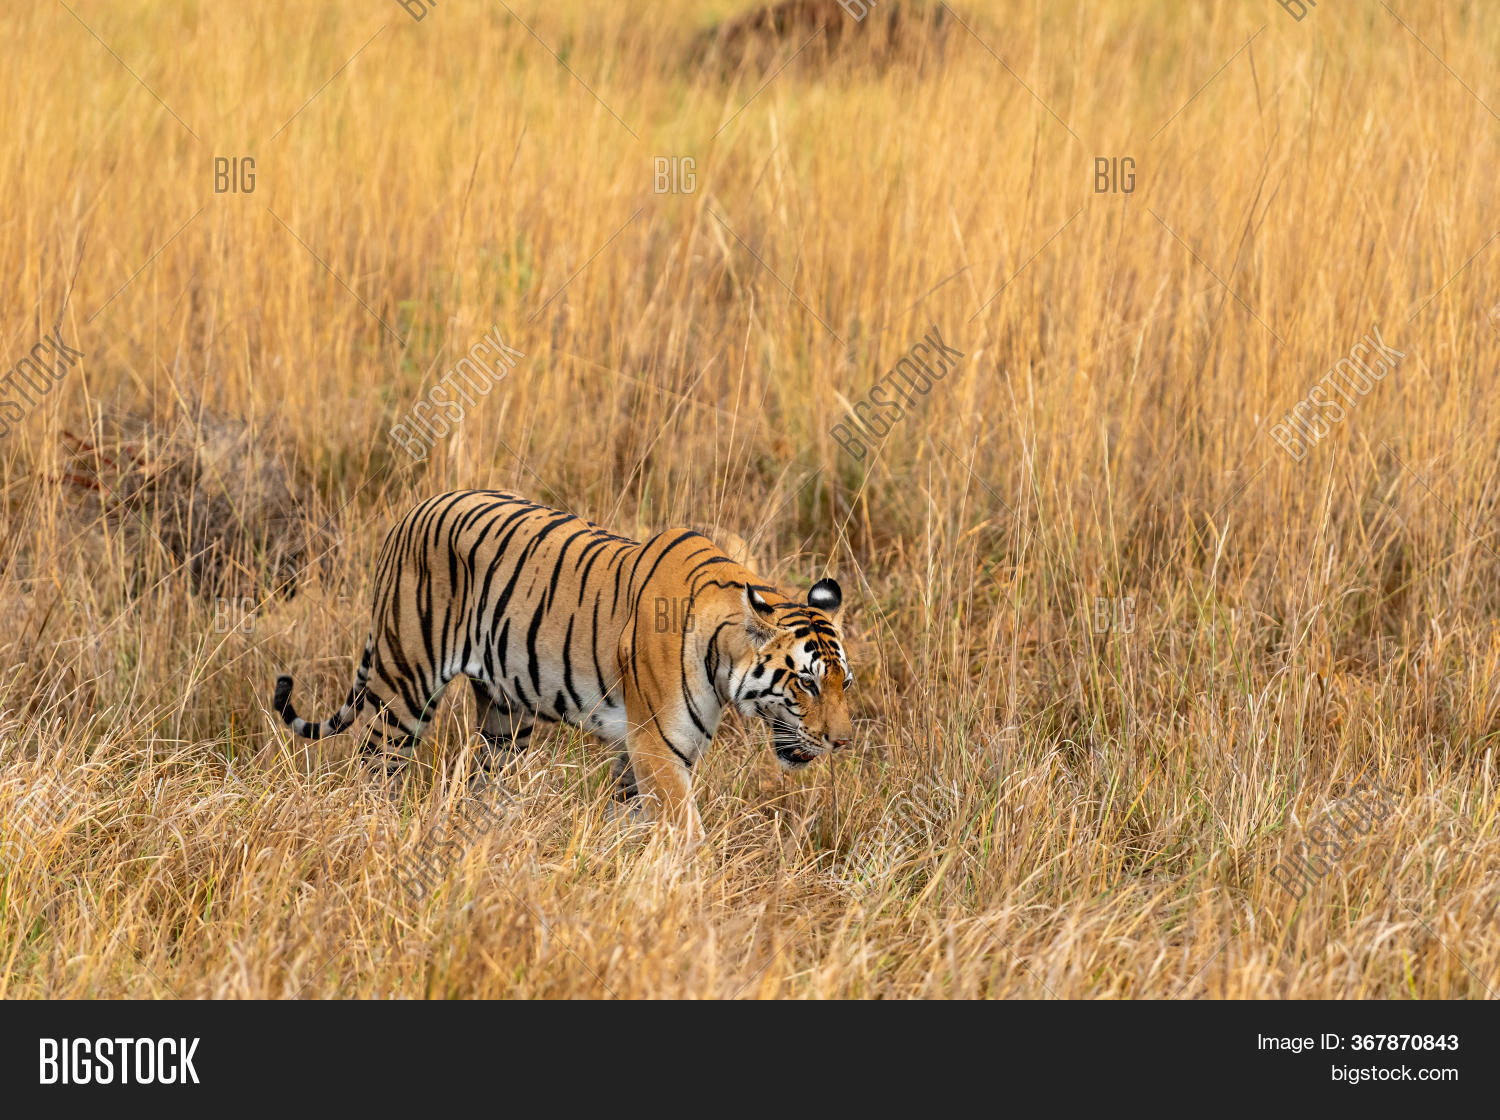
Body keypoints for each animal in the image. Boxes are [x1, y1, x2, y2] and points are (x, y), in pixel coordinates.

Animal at [271, 489, 854, 840]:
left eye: (844, 683)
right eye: (806, 683)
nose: (843, 742)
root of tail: (411, 513)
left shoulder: (637, 751)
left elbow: (631, 821)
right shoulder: (657, 748)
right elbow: (687, 834)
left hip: (505, 717)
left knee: (486, 782)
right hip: (404, 688)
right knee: (375, 768)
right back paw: (376, 828)